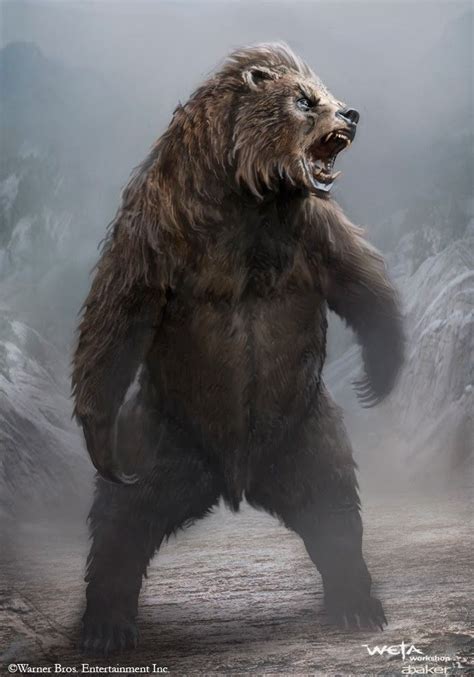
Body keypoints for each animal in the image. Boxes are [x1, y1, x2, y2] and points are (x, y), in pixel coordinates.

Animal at [72, 42, 404, 655]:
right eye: (304, 99)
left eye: (323, 90)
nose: (350, 114)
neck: (247, 196)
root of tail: (237, 481)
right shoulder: (158, 225)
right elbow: (116, 313)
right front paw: (96, 436)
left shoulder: (310, 228)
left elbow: (362, 279)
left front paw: (380, 374)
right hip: (164, 436)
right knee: (121, 520)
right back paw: (105, 625)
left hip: (305, 430)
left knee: (334, 507)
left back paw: (357, 604)